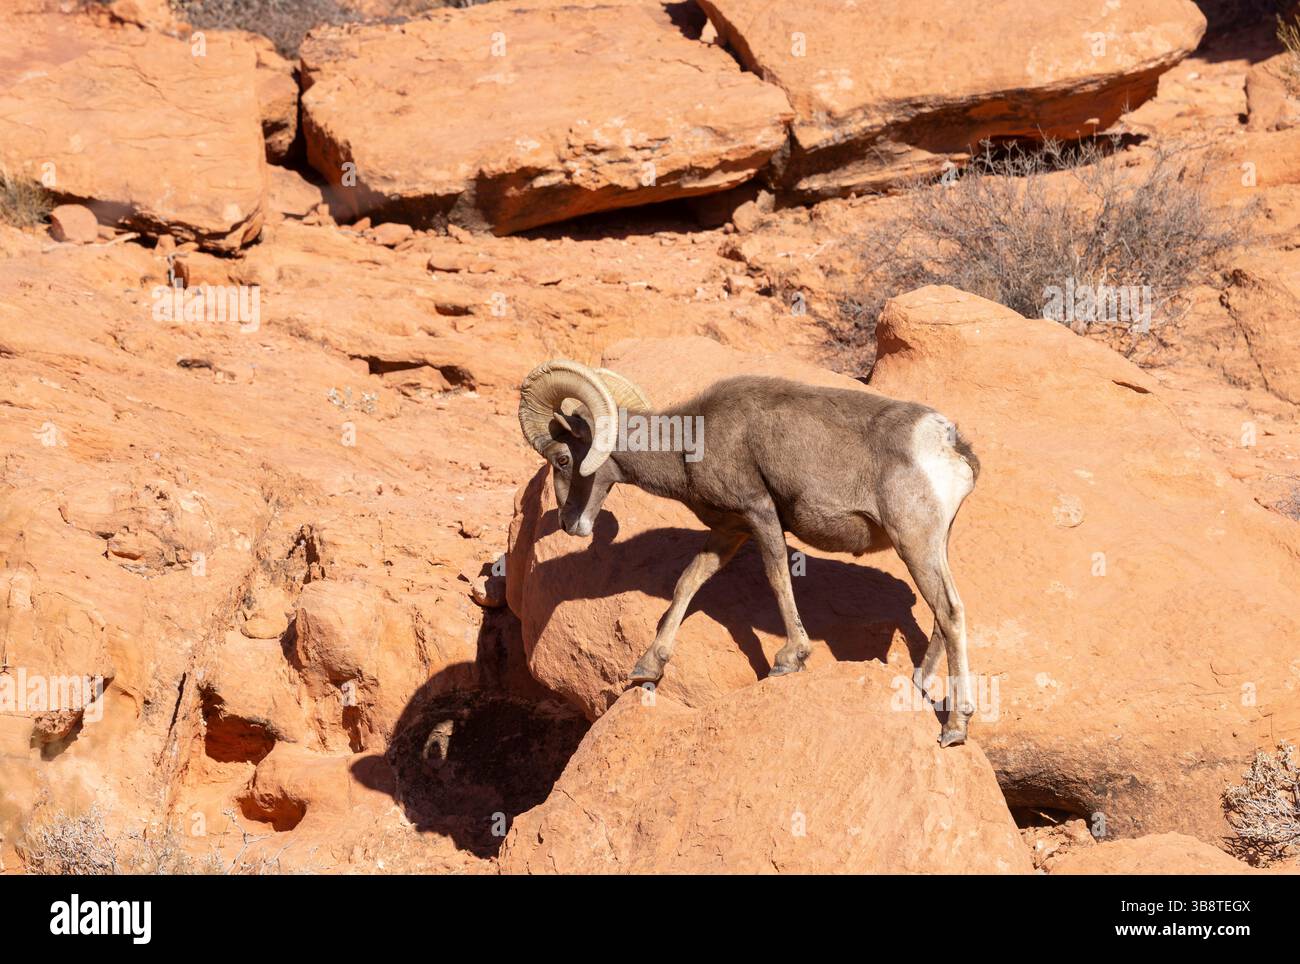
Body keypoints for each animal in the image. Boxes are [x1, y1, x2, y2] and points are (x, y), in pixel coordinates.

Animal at [518, 359, 981, 746]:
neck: (690, 443)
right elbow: (688, 582)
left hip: (913, 541)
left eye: (562, 458)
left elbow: (777, 578)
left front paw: (789, 659)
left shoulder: (759, 513)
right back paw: (918, 688)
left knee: (951, 611)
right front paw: (648, 667)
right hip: (930, 547)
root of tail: (946, 442)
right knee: (941, 615)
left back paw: (955, 729)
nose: (570, 524)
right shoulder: (730, 529)